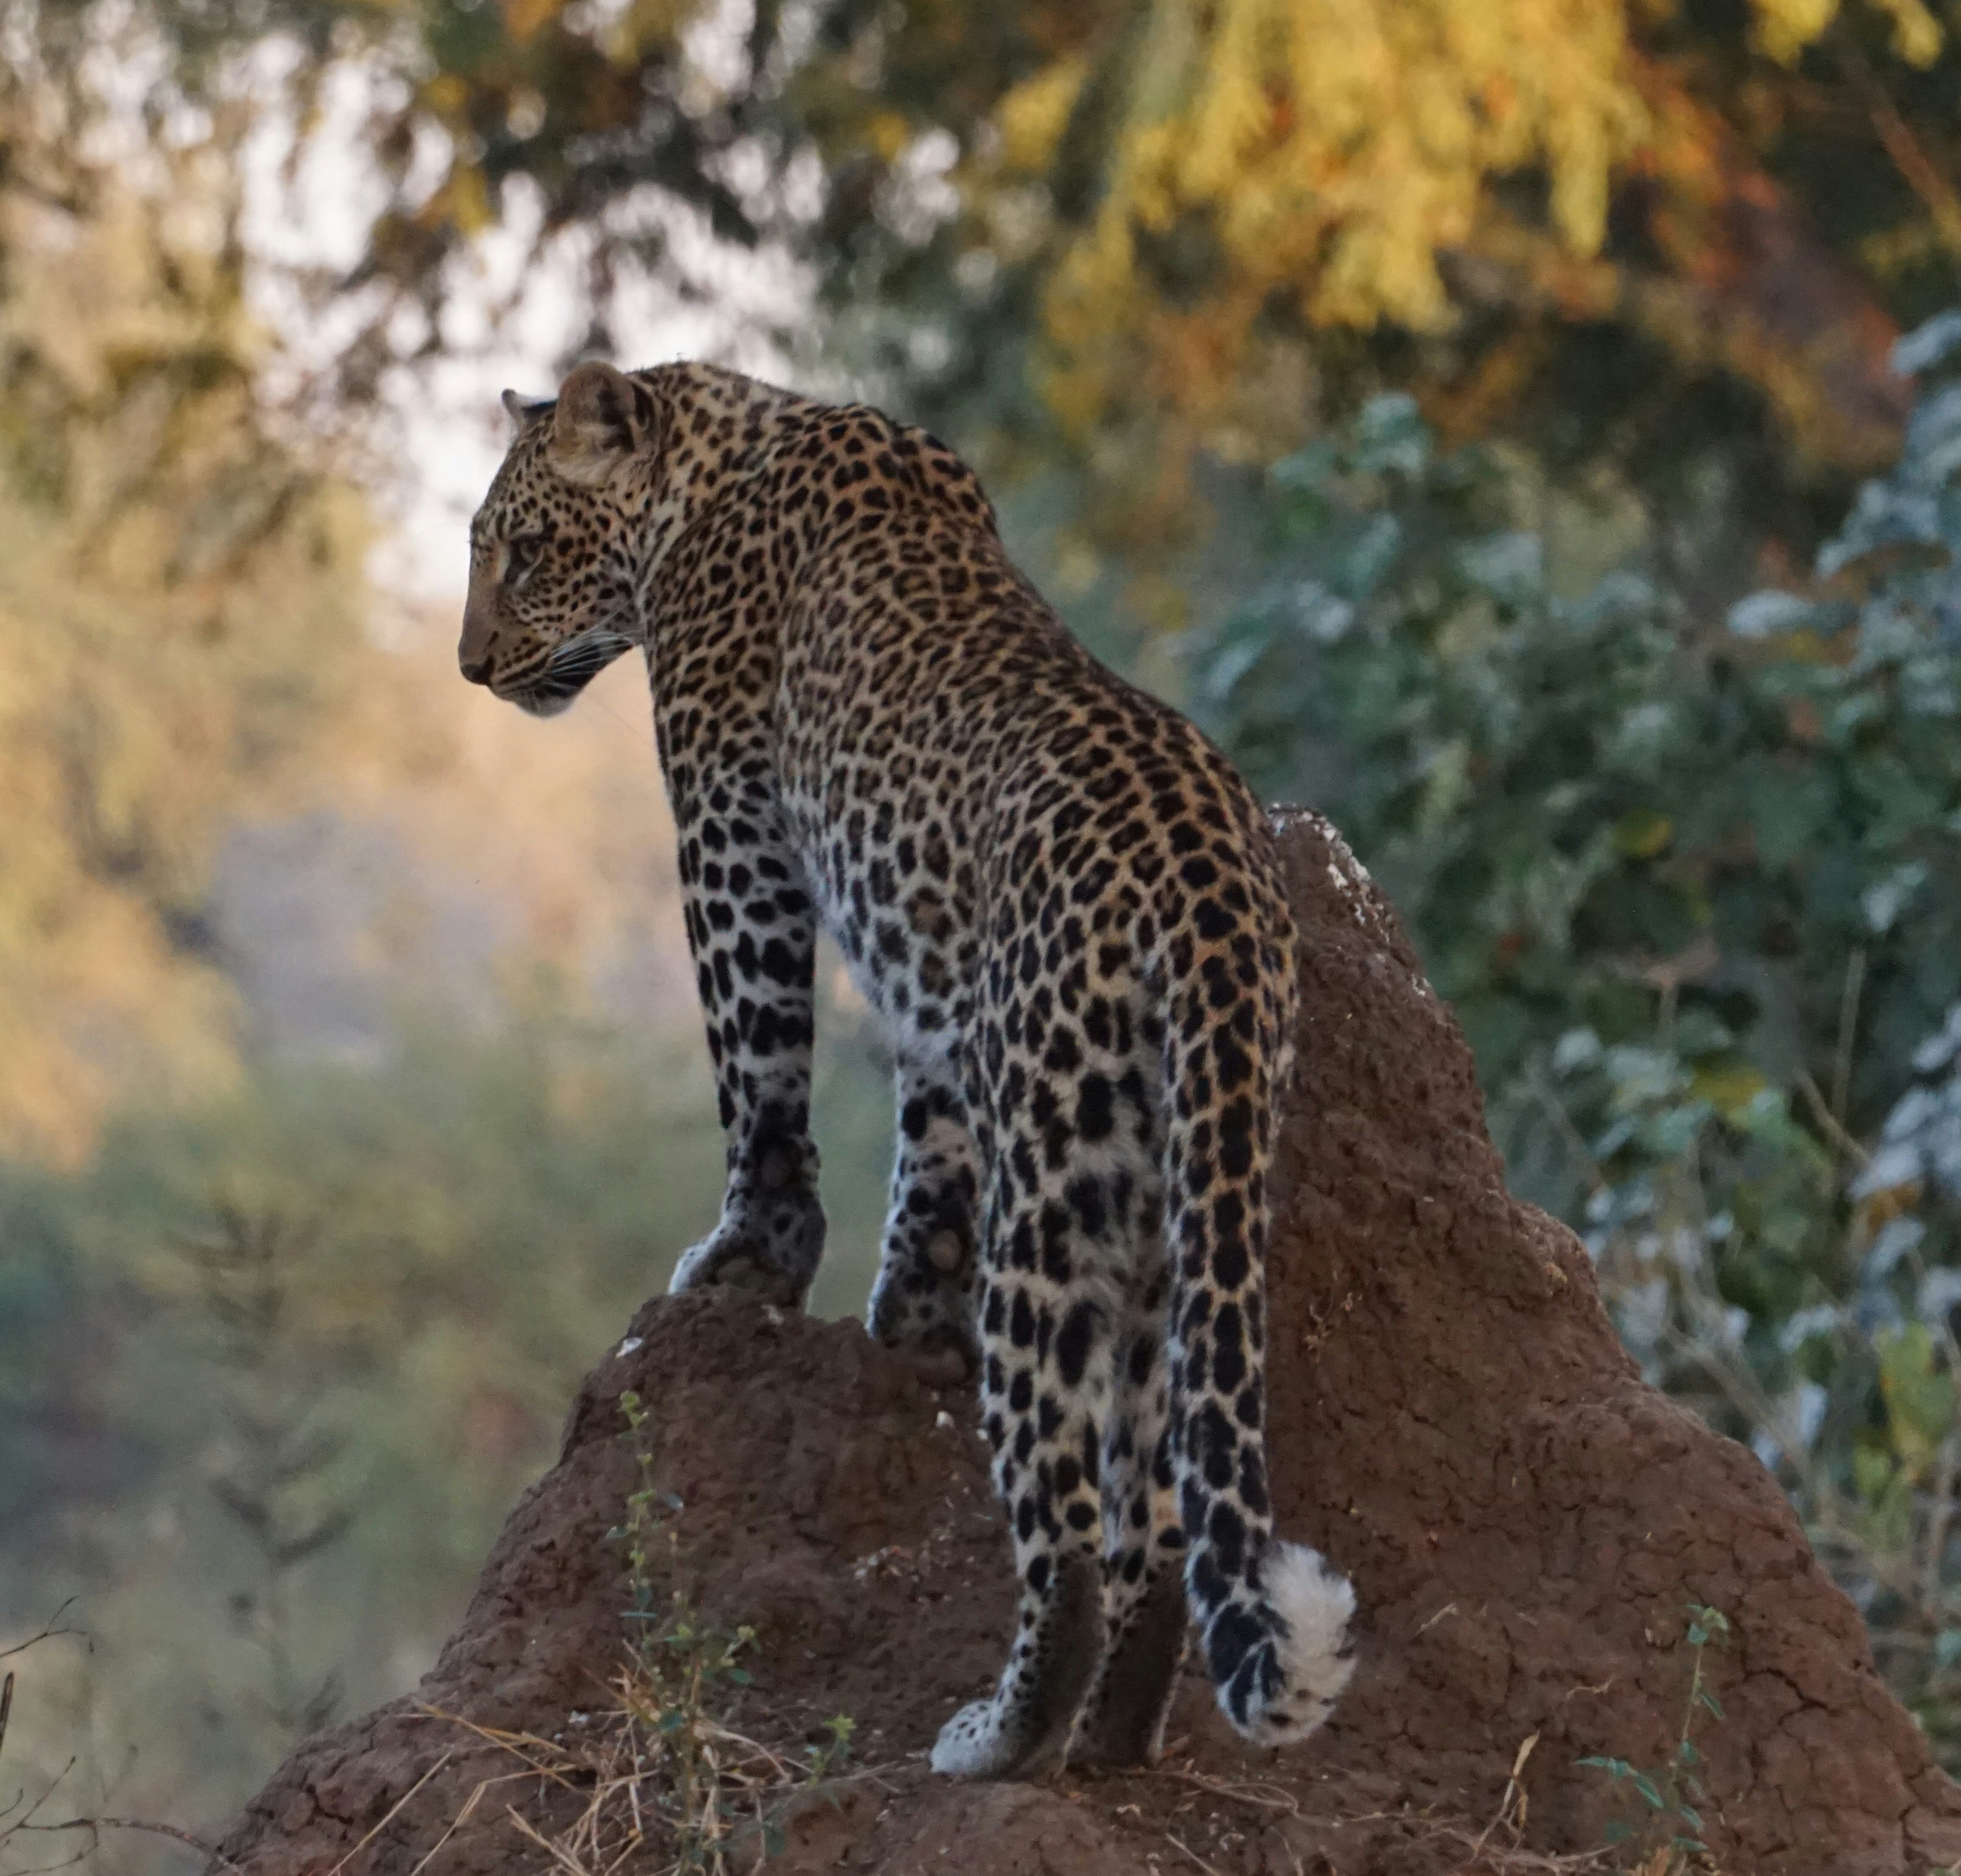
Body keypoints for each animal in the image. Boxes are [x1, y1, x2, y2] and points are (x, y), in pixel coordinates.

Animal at [459, 357, 1357, 1779]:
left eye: (528, 550)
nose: (472, 665)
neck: (712, 450)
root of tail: (1214, 890)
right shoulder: (939, 981)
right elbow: (927, 1136)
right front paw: (905, 1311)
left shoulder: (729, 825)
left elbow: (757, 1068)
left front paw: (748, 1259)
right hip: (1182, 1200)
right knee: (1153, 1519)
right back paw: (1104, 1745)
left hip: (1054, 1187)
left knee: (1060, 1514)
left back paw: (1000, 1736)